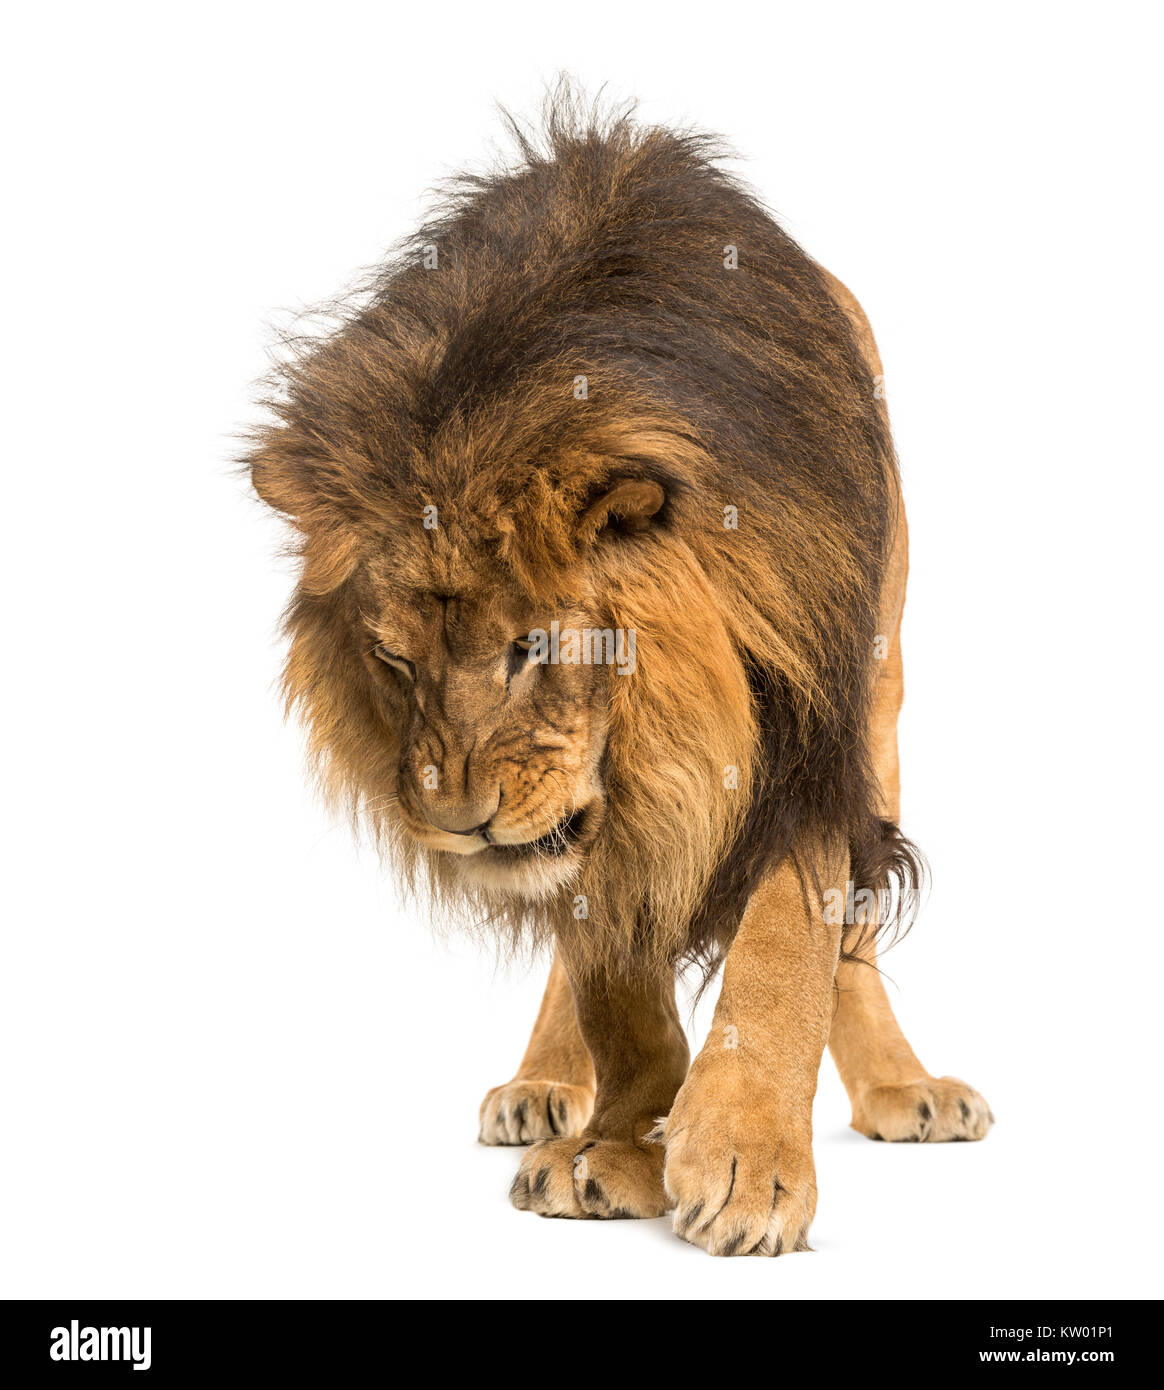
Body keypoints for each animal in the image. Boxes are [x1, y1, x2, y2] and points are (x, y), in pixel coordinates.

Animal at [247, 94, 992, 1257]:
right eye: (393, 659)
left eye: (532, 649)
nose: (454, 821)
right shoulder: (614, 818)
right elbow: (618, 988)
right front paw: (622, 1139)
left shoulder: (803, 731)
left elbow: (788, 944)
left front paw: (746, 1163)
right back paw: (548, 1082)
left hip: (884, 699)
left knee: (855, 938)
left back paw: (901, 1087)